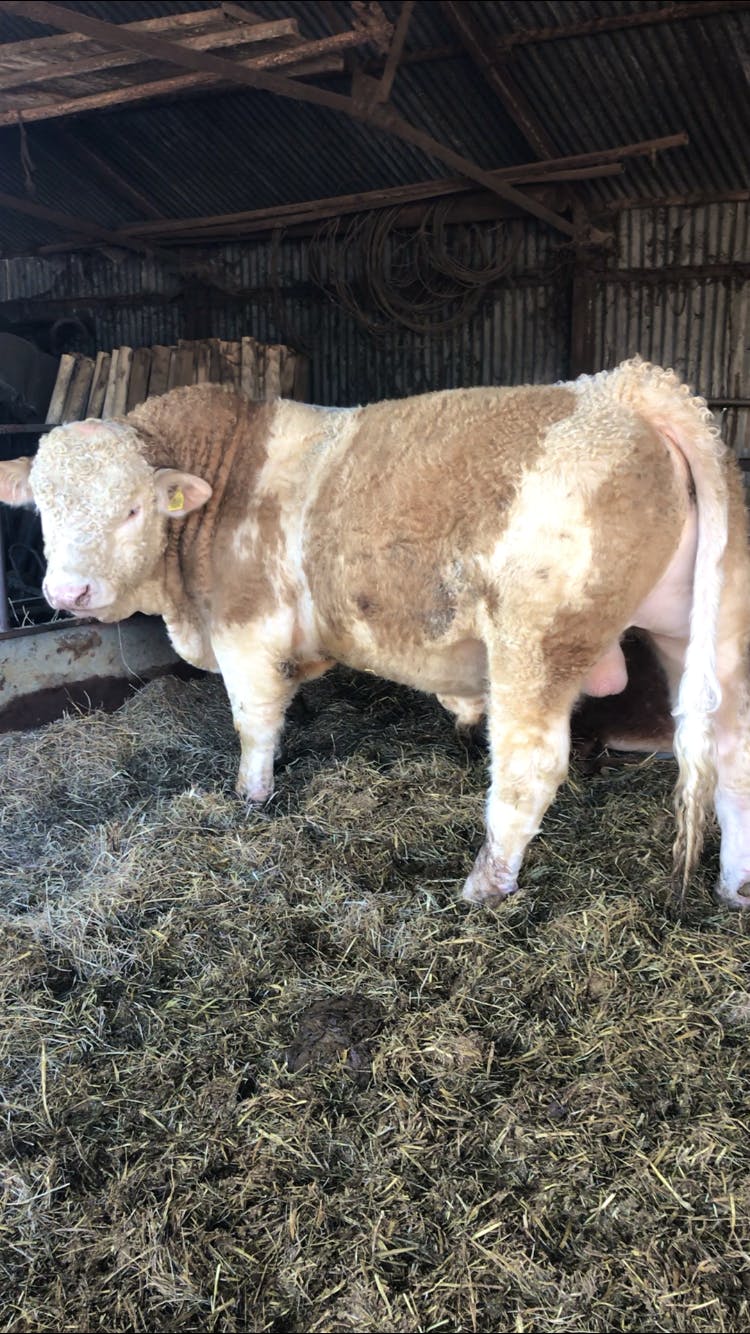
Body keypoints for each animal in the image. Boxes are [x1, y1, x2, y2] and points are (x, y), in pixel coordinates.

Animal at [1, 359, 749, 908]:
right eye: (42, 508)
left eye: (132, 508)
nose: (66, 594)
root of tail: (623, 387)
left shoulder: (247, 630)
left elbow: (254, 724)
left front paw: (250, 798)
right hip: (702, 634)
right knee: (732, 757)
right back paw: (734, 889)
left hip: (536, 644)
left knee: (528, 769)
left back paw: (482, 887)